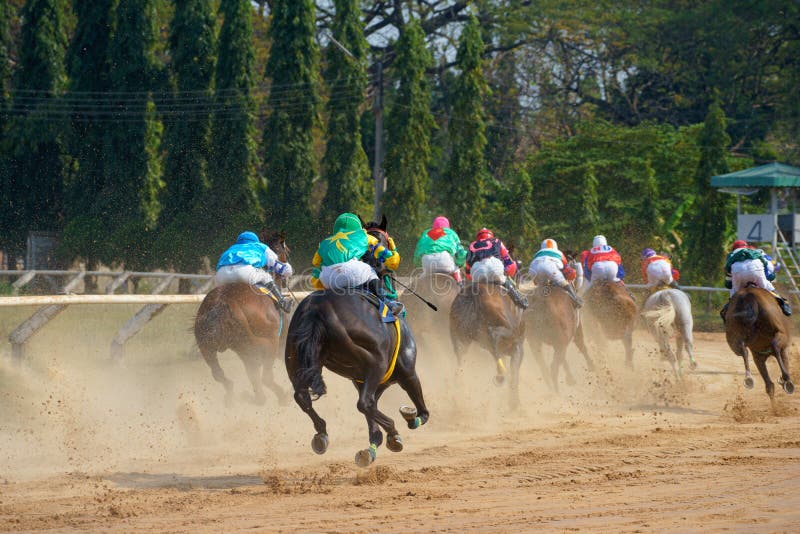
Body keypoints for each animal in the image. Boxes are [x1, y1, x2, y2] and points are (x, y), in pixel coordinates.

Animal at [193, 231, 291, 406]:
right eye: (287, 251)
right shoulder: (280, 341)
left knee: (219, 374)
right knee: (266, 377)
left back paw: (236, 397)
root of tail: (226, 303)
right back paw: (282, 397)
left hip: (208, 344)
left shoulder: (246, 351)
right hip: (267, 341)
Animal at [284, 219, 429, 467]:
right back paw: (393, 431)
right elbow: (422, 412)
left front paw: (371, 448)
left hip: (294, 359)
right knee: (365, 403)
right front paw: (407, 419)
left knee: (301, 396)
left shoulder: (363, 380)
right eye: (387, 239)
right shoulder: (407, 371)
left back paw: (322, 434)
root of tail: (317, 309)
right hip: (376, 361)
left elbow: (372, 424)